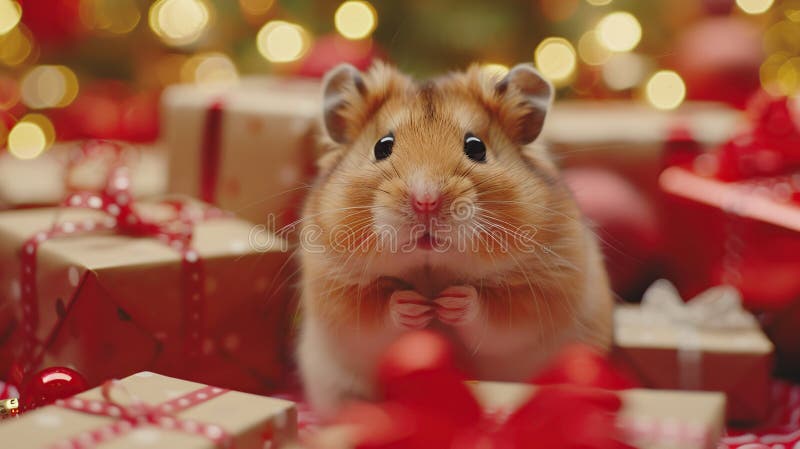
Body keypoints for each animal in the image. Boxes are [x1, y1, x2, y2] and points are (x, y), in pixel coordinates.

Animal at [296, 62, 613, 416]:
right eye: (382, 146)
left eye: (476, 147)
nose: (426, 200)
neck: (432, 269)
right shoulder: (336, 292)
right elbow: (376, 316)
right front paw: (417, 306)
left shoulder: (542, 293)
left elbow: (495, 316)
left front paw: (449, 302)